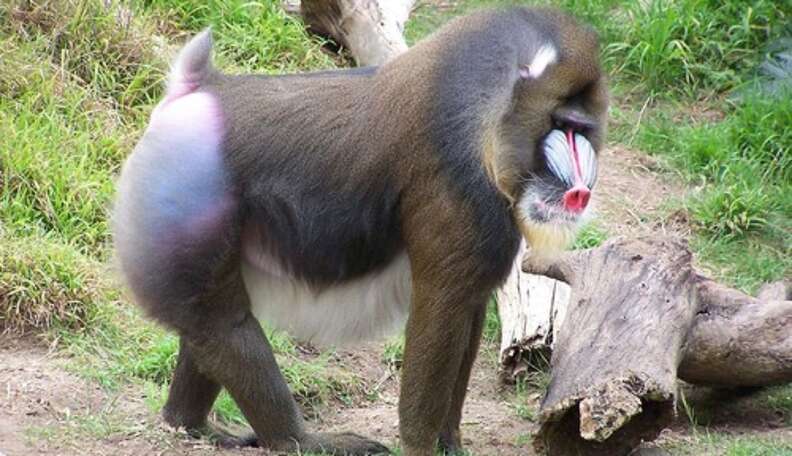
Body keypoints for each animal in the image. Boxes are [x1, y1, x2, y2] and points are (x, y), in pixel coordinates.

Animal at [112, 6, 607, 456]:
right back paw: (302, 440)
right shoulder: (454, 209)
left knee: (203, 333)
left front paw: (451, 443)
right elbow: (437, 319)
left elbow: (466, 326)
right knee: (225, 326)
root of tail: (195, 91)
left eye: (584, 130)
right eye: (562, 125)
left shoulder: (480, 267)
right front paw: (422, 447)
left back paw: (190, 424)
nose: (581, 191)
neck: (486, 117)